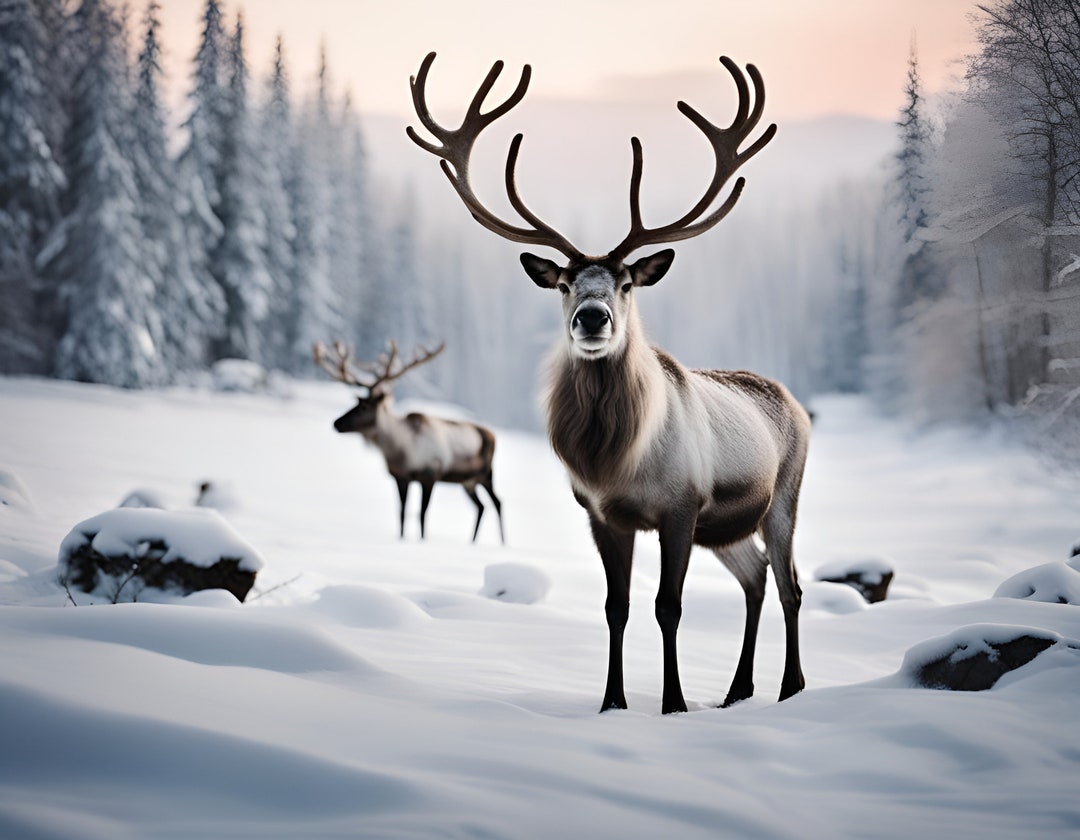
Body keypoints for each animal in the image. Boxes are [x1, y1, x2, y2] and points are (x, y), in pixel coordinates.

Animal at [314, 339, 505, 544]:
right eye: (357, 403)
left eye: (364, 406)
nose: (336, 423)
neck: (400, 451)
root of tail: (493, 435)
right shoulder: (400, 477)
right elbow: (402, 512)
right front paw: (402, 538)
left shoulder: (430, 475)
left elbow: (422, 513)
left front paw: (422, 541)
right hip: (468, 482)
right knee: (481, 506)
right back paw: (472, 541)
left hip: (486, 475)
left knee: (497, 502)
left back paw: (502, 542)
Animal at [407, 52, 811, 714]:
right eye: (564, 283)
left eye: (624, 282)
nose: (591, 317)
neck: (621, 460)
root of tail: (793, 402)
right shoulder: (602, 514)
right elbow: (615, 608)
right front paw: (612, 702)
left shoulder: (681, 506)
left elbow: (668, 607)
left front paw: (673, 703)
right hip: (726, 529)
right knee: (754, 579)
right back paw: (737, 691)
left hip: (783, 498)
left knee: (789, 585)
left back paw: (790, 688)